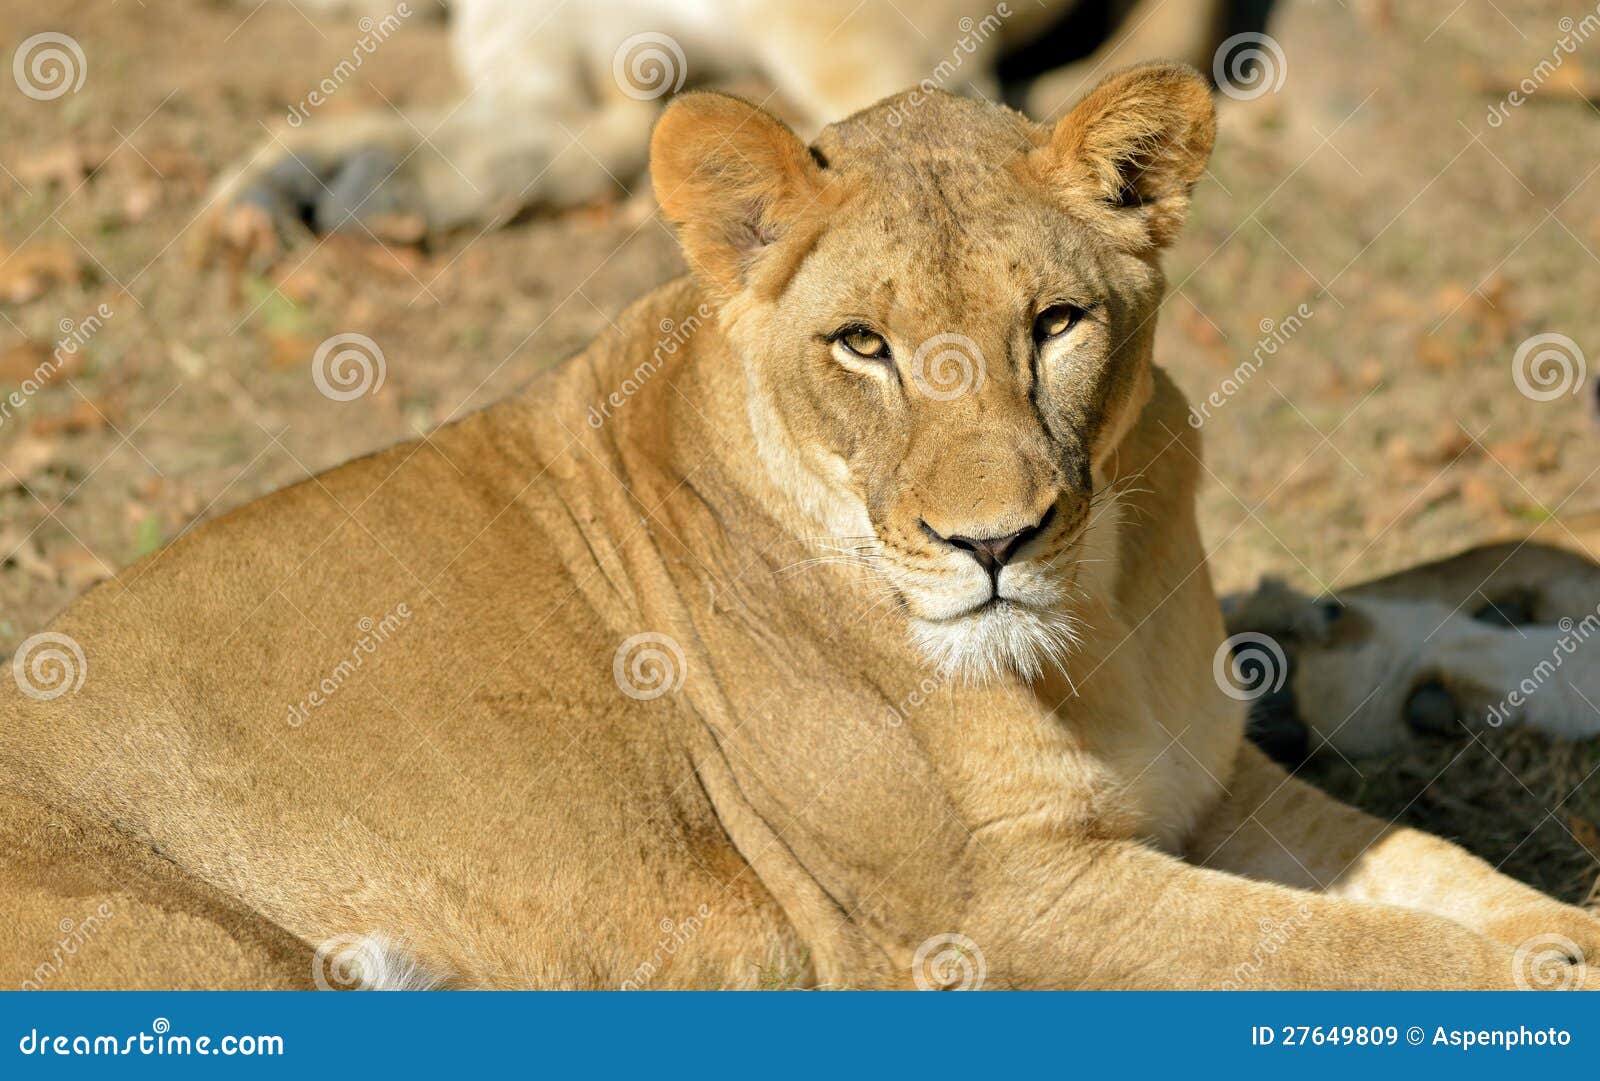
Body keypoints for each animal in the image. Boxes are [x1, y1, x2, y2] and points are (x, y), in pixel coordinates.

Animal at [4, 64, 1598, 990]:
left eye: (1054, 324)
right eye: (863, 347)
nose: (991, 542)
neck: (1089, 631)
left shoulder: (1212, 793)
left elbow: (1441, 878)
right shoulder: (987, 909)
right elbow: (1362, 954)